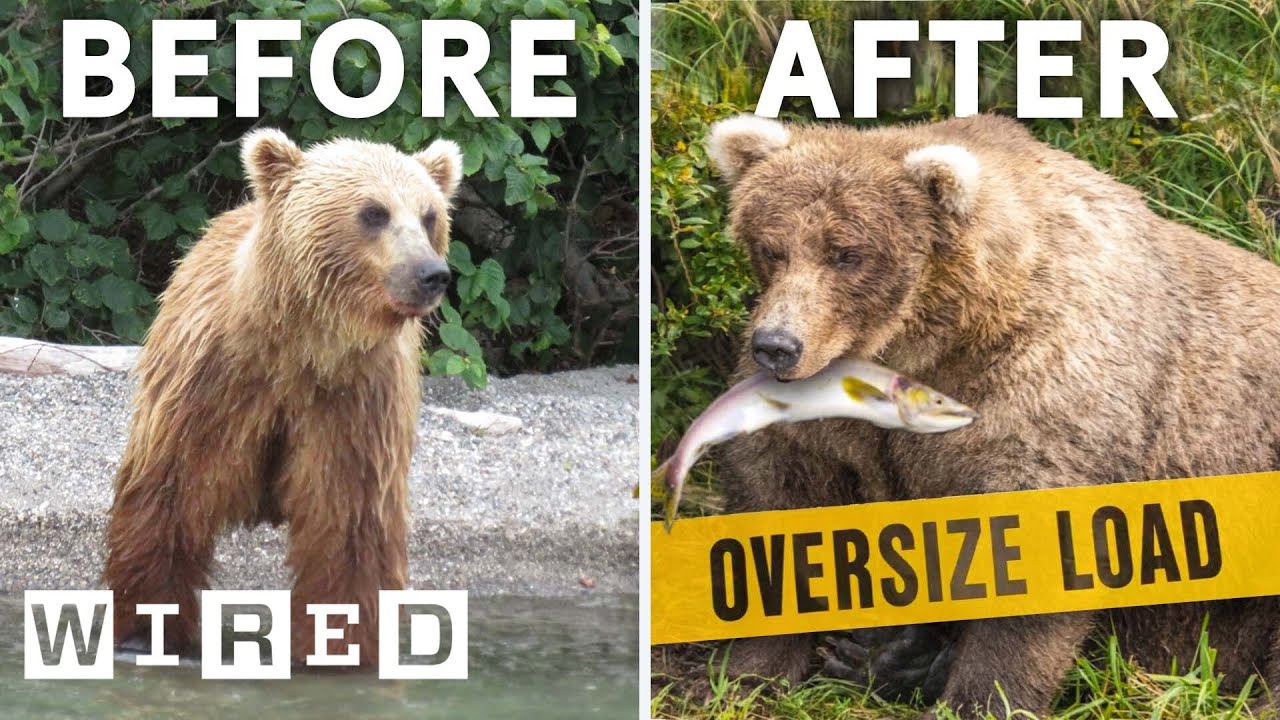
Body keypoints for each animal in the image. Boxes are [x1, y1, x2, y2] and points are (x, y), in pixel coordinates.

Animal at [103, 128, 462, 667]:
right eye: (373, 212)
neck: (302, 344)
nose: (430, 273)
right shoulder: (211, 386)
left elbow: (347, 525)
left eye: (429, 214)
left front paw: (338, 645)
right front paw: (146, 633)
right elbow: (170, 497)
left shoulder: (353, 403)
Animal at [703, 113, 1280, 718]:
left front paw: (983, 697)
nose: (776, 346)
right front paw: (748, 672)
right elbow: (780, 496)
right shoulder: (831, 418)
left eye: (847, 253)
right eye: (772, 247)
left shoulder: (1043, 390)